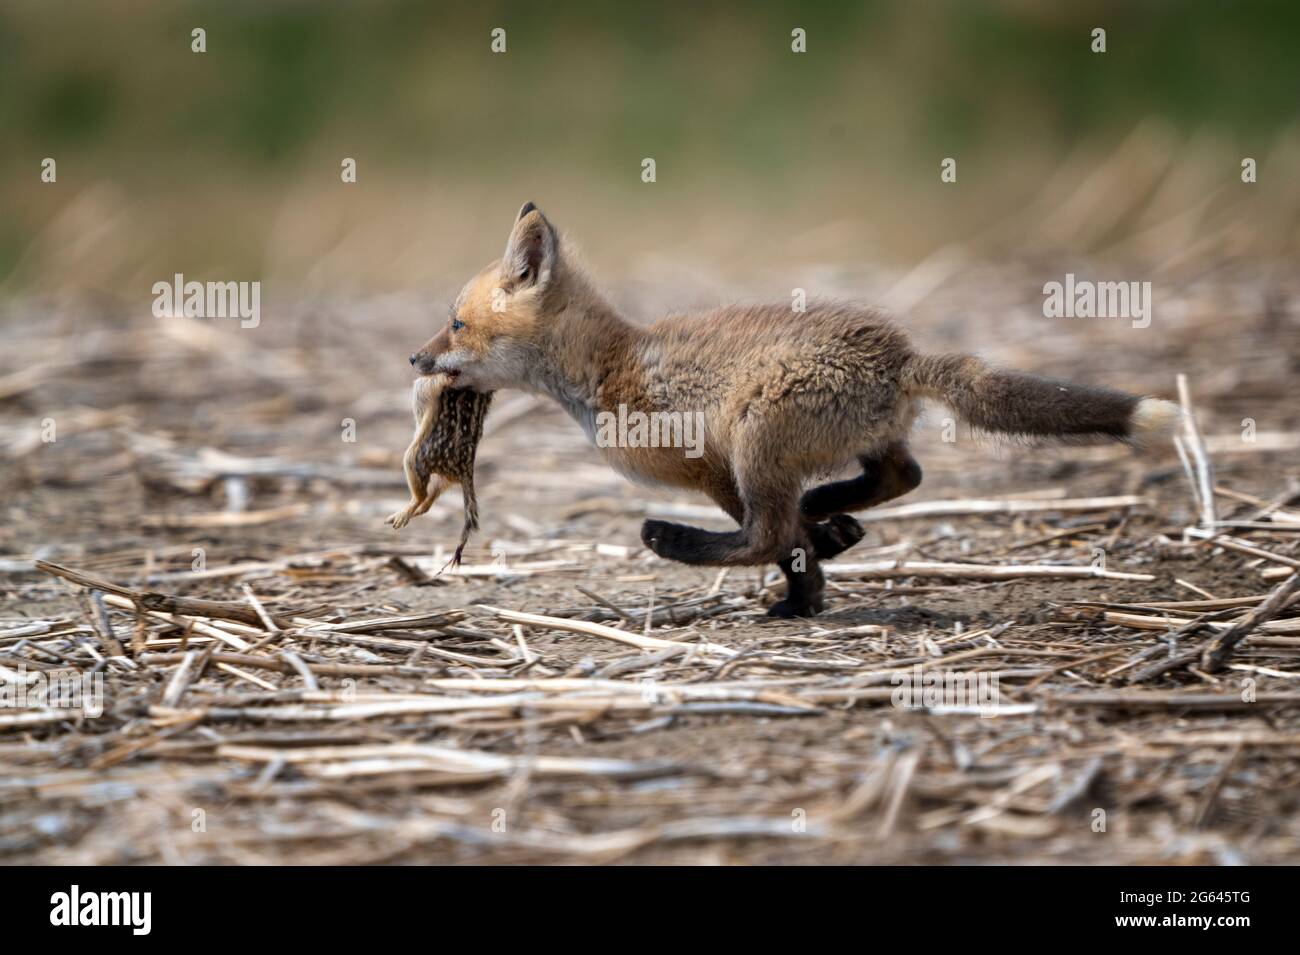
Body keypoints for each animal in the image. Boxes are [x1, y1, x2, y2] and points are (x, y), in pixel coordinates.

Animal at [408, 202, 1180, 618]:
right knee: (901, 476)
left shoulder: (715, 468)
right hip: (851, 440)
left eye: (455, 324)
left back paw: (679, 541)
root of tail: (898, 355)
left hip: (759, 439)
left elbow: (781, 543)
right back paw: (834, 513)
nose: (414, 360)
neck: (610, 367)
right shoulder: (729, 472)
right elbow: (805, 542)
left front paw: (806, 595)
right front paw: (821, 570)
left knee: (768, 531)